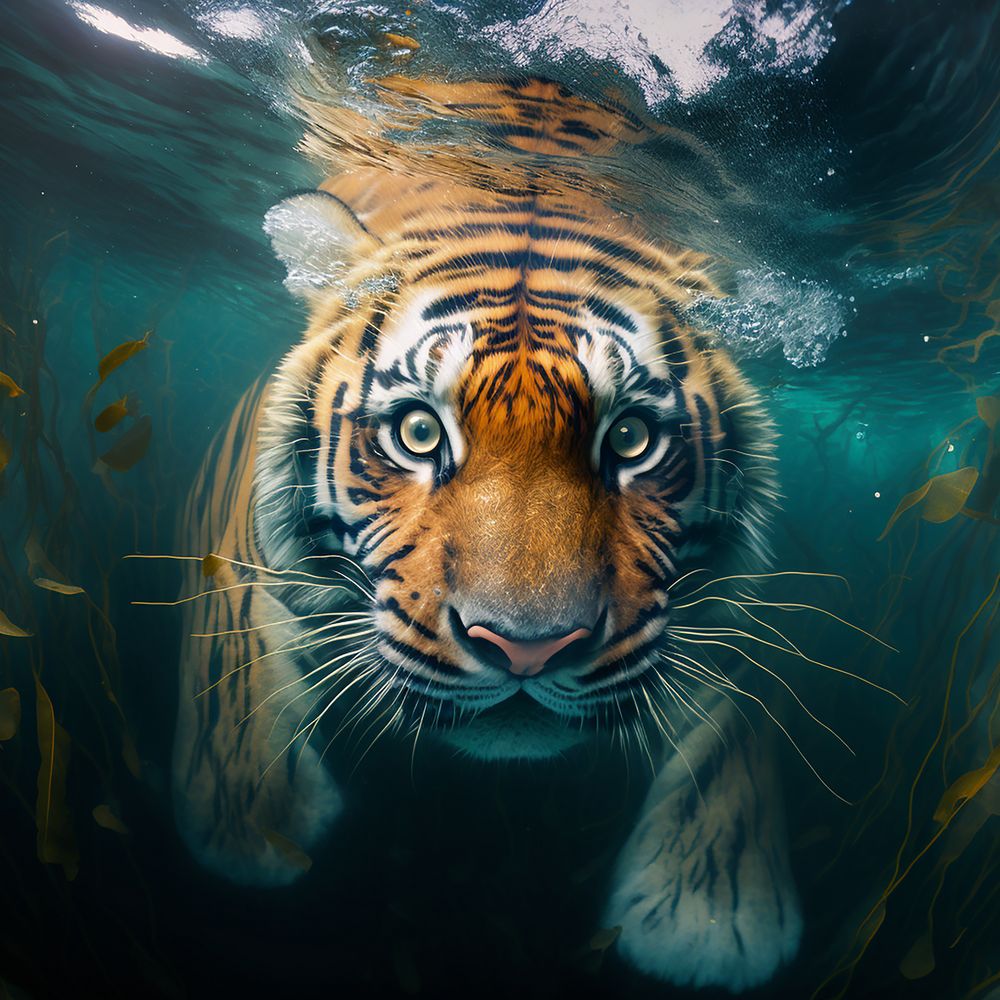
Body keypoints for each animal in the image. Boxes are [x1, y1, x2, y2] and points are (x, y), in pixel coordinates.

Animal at [171, 76, 801, 993]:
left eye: (630, 439)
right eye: (418, 433)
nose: (528, 648)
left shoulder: (735, 607)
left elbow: (740, 731)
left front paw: (714, 919)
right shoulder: (237, 558)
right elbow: (234, 672)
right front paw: (250, 825)